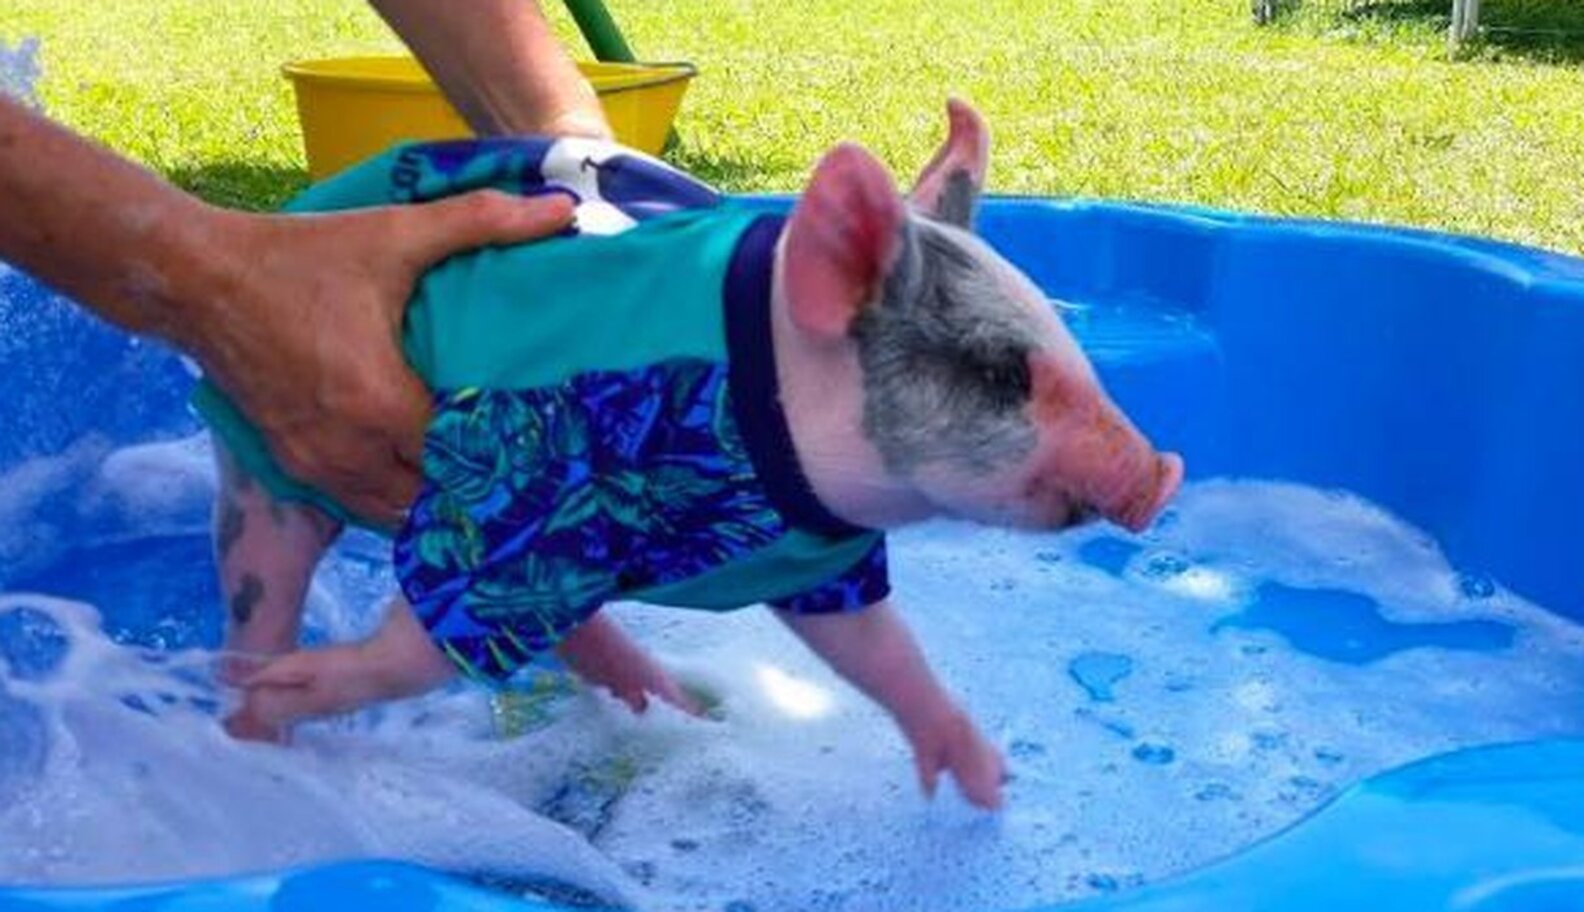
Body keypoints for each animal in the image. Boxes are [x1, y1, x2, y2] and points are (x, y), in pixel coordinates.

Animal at [212, 100, 1183, 811]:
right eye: (997, 371)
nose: (1161, 472)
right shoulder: (515, 491)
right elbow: (429, 635)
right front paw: (292, 689)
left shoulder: (814, 557)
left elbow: (878, 650)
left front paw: (986, 786)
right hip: (267, 457)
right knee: (265, 585)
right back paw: (249, 730)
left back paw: (676, 706)